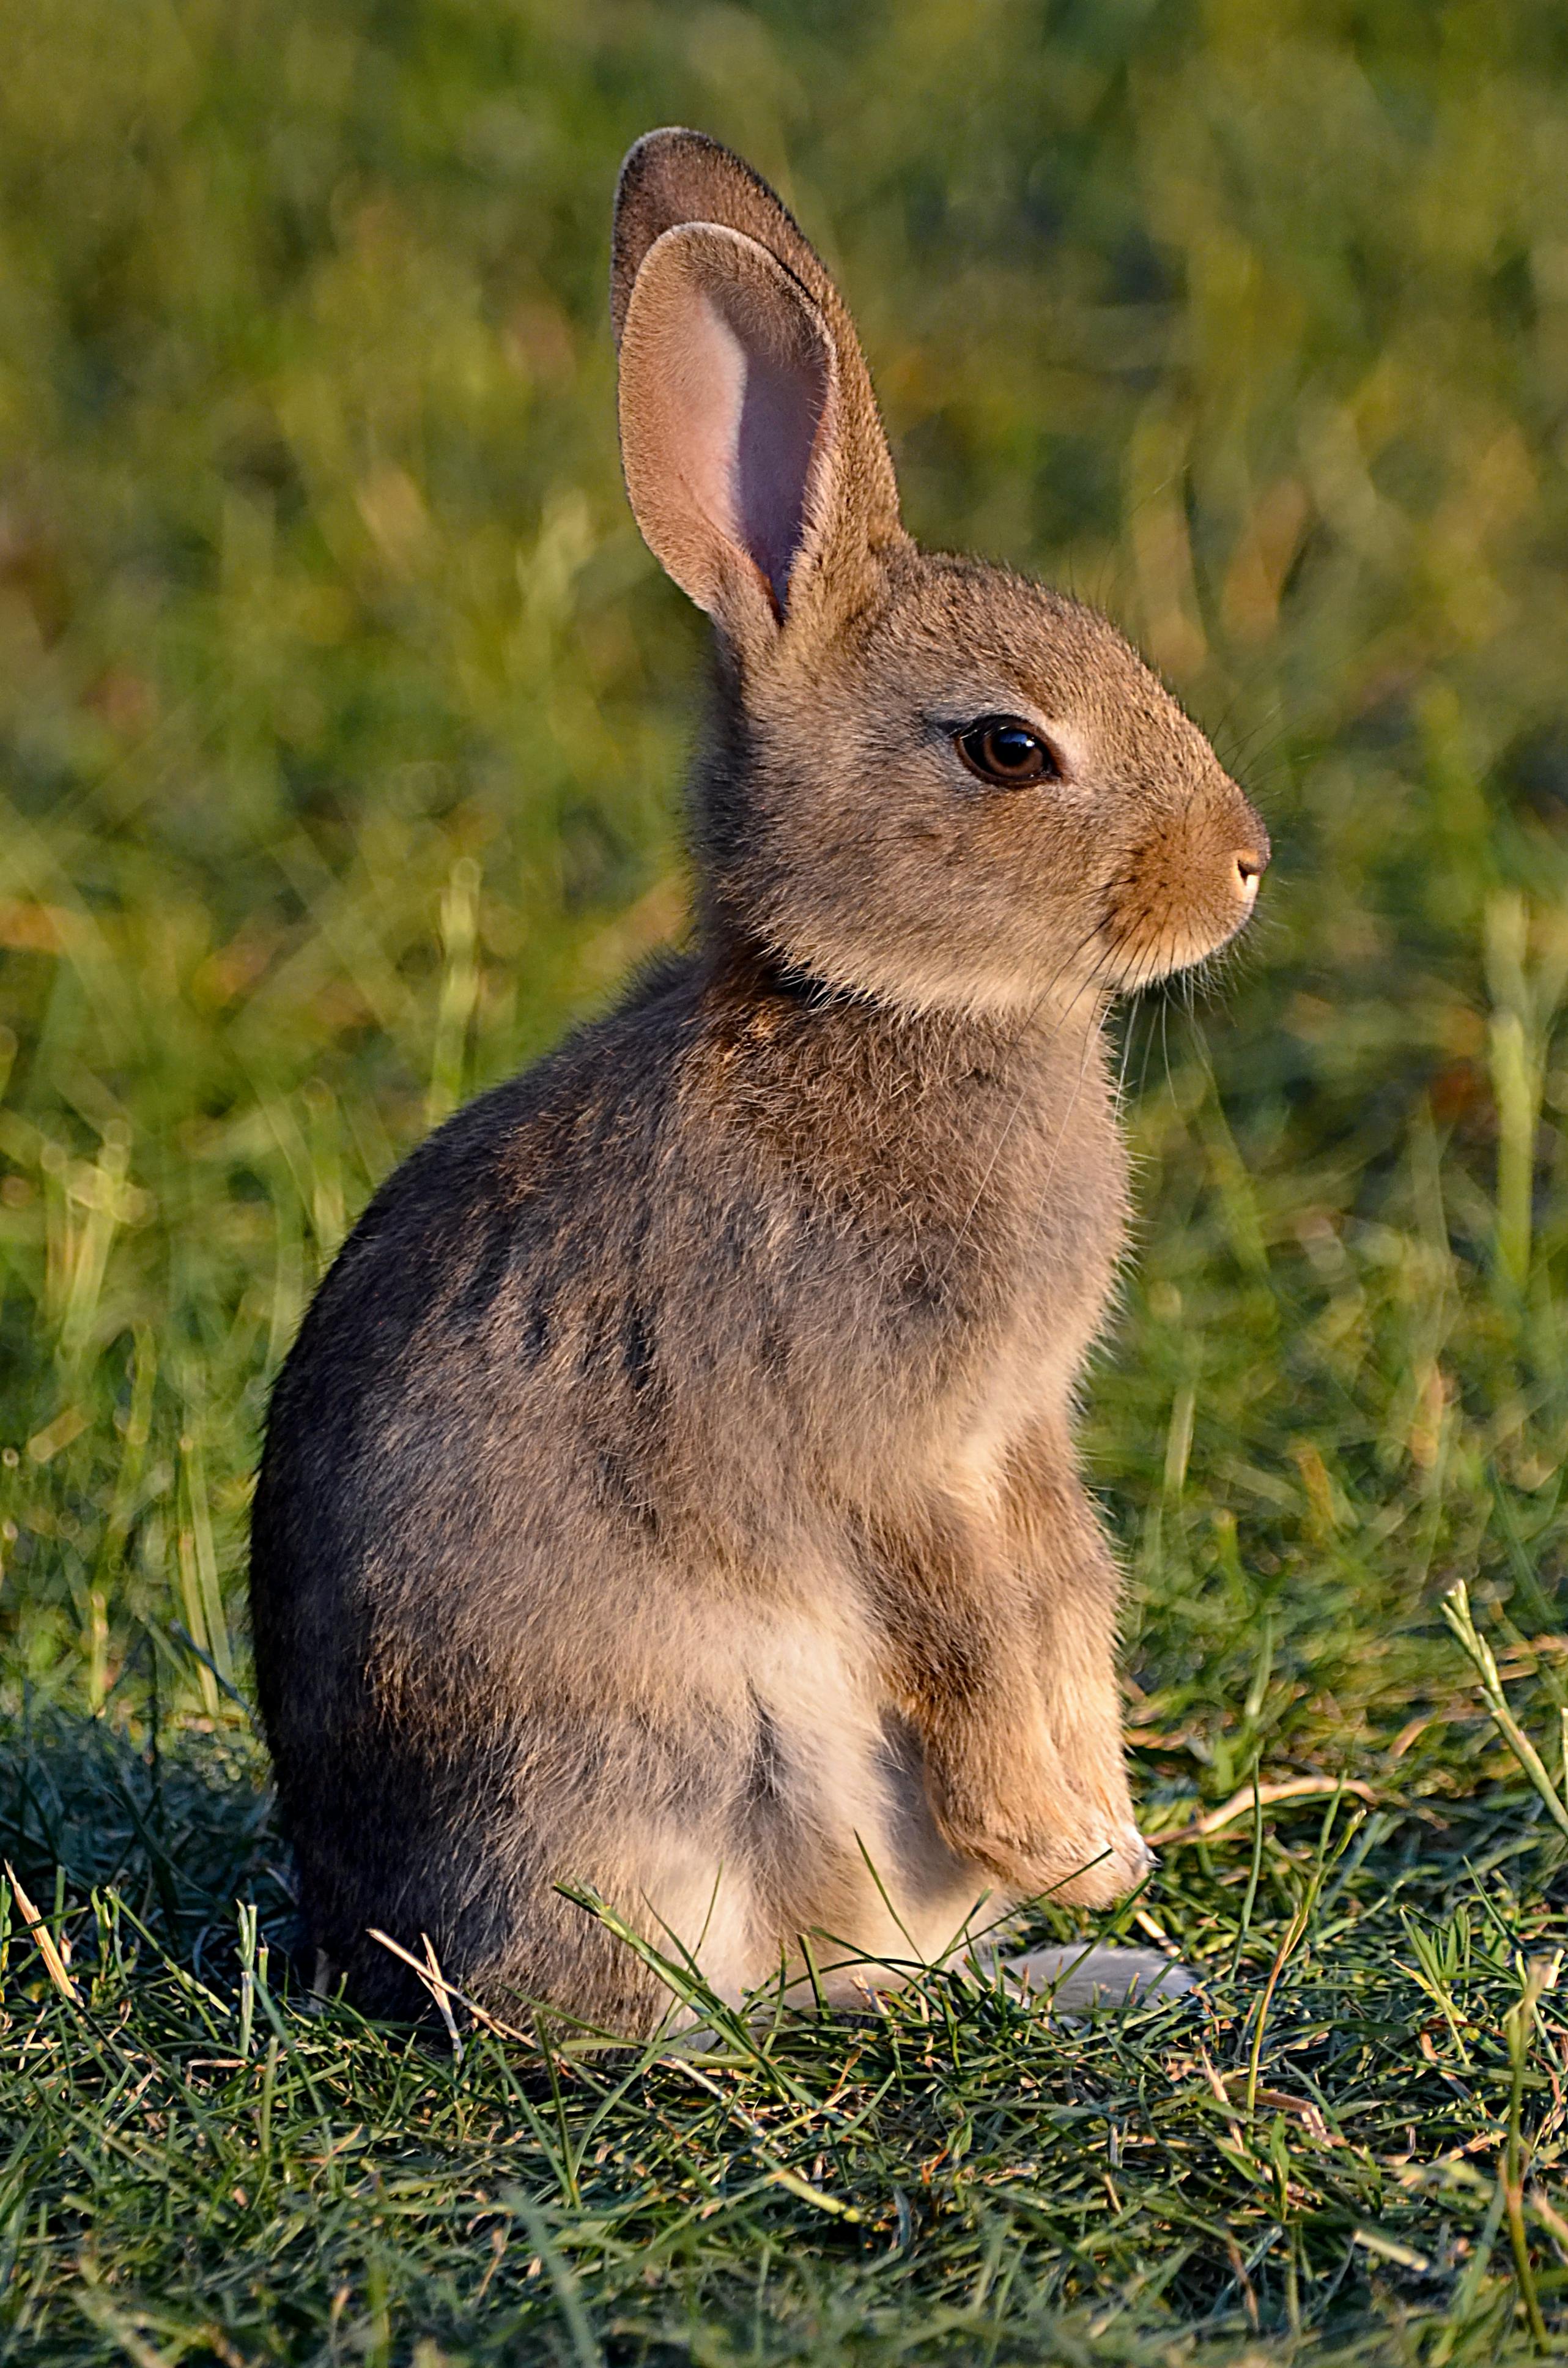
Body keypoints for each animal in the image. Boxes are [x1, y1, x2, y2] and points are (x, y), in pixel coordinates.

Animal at [249, 128, 1267, 2040]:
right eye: (1007, 749)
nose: (1242, 868)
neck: (881, 1000)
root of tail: (398, 1947)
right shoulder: (893, 1447)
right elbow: (967, 1629)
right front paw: (1070, 1843)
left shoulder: (1021, 1435)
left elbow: (1070, 1592)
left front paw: (1109, 1850)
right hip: (690, 1780)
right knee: (753, 2002)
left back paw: (1104, 1963)